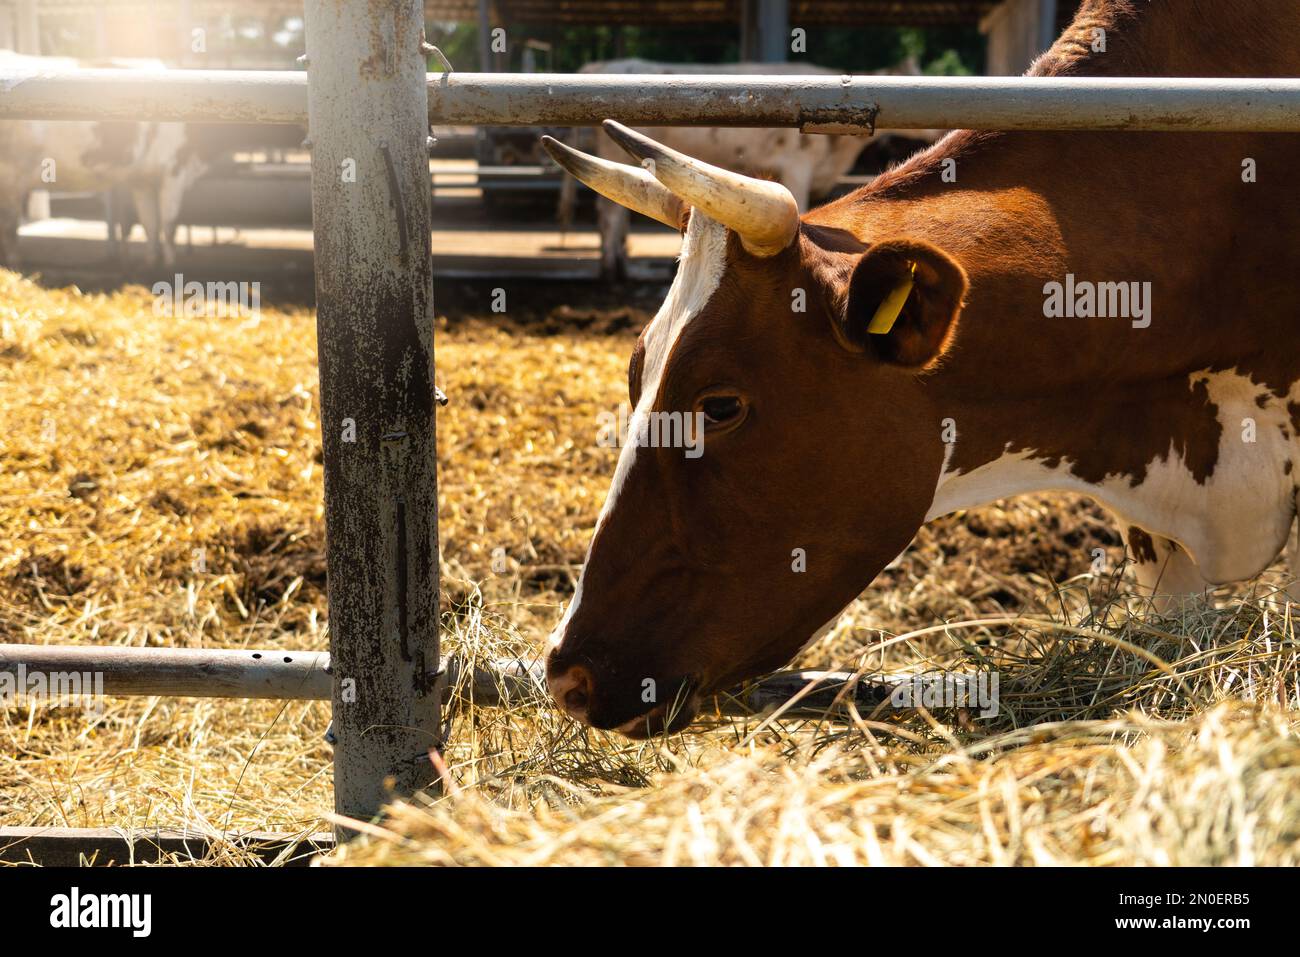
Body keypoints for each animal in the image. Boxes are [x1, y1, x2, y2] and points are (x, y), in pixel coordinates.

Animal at [0, 52, 211, 269]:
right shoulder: (174, 169)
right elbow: (169, 225)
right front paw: (170, 265)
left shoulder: (143, 179)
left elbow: (150, 222)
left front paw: (151, 262)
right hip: (10, 175)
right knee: (9, 225)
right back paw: (14, 264)